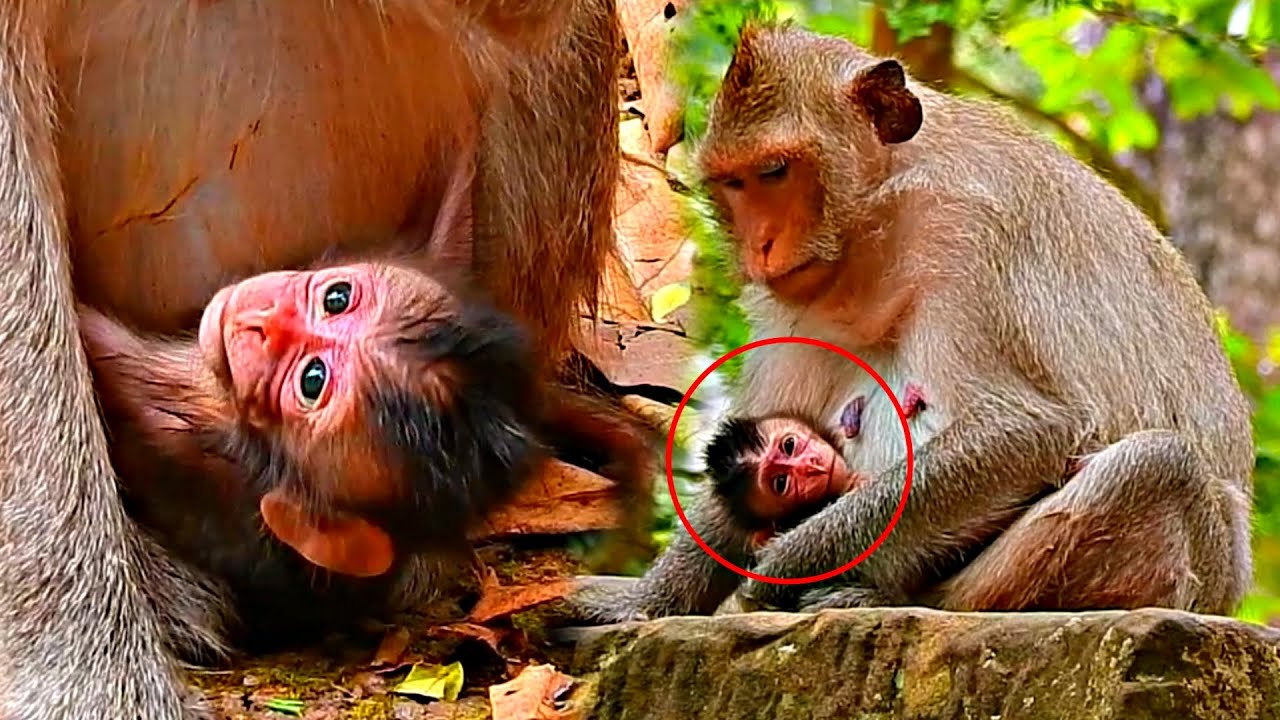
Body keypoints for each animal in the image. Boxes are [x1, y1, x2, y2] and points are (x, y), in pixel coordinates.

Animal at [570, 20, 1253, 623]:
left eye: (774, 172)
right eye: (733, 183)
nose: (759, 244)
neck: (881, 216)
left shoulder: (968, 233)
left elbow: (1027, 428)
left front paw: (783, 564)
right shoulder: (799, 301)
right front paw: (642, 601)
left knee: (1155, 464)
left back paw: (891, 598)